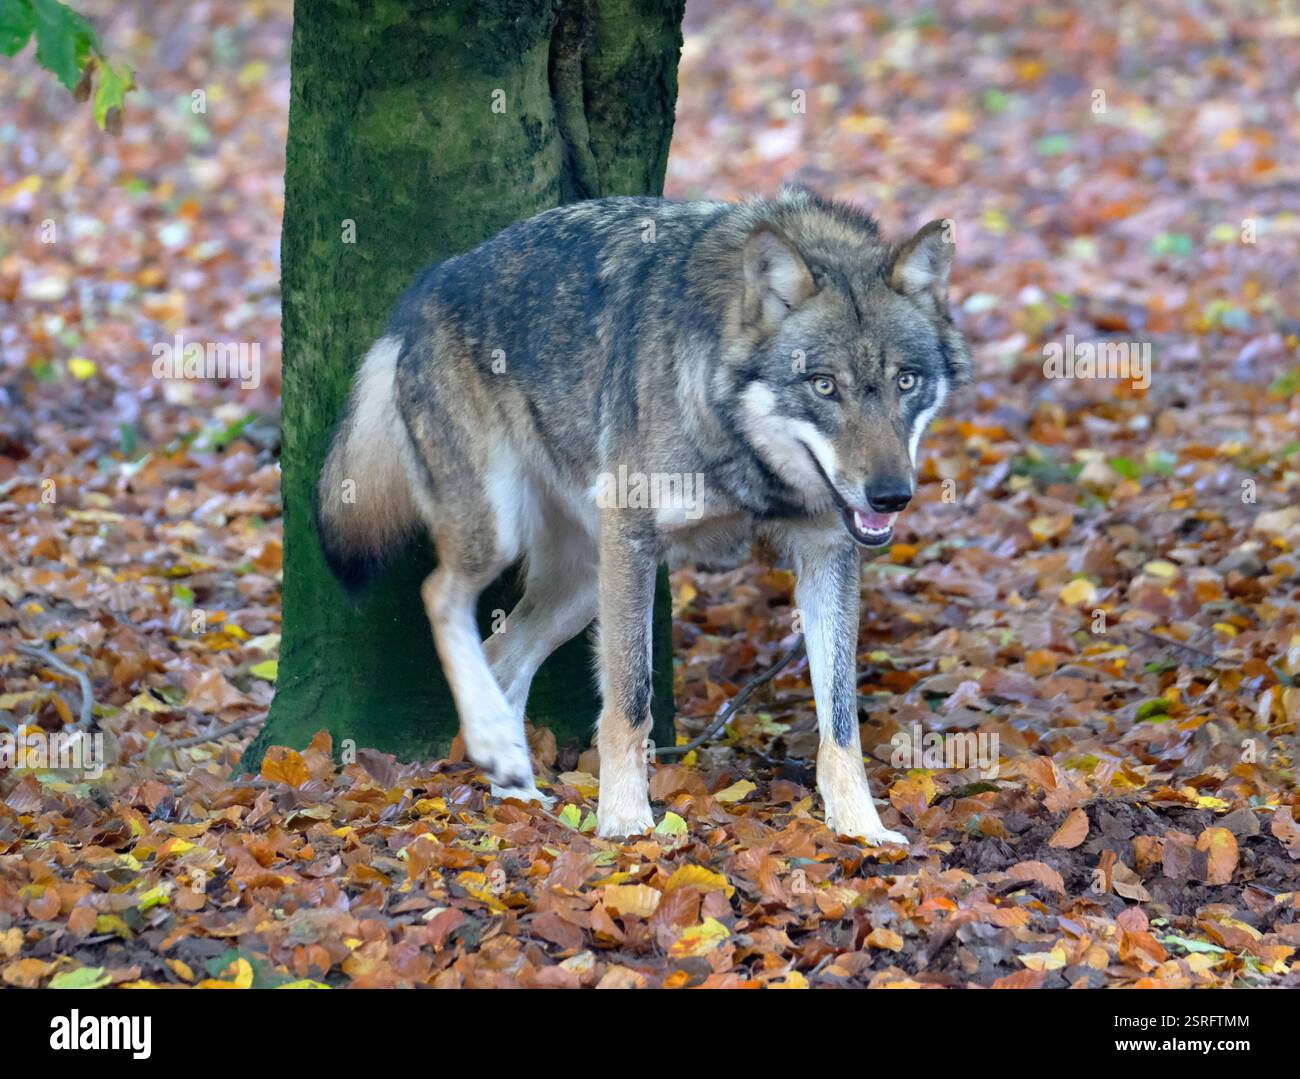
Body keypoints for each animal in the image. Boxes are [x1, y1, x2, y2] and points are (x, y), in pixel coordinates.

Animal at [316, 187, 970, 844]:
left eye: (906, 381)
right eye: (824, 385)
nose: (891, 496)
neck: (738, 449)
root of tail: (422, 293)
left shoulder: (827, 551)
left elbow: (840, 719)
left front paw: (862, 829)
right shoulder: (633, 539)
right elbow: (630, 702)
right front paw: (626, 821)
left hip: (583, 585)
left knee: (504, 655)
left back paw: (515, 785)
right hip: (508, 537)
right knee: (439, 595)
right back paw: (498, 749)